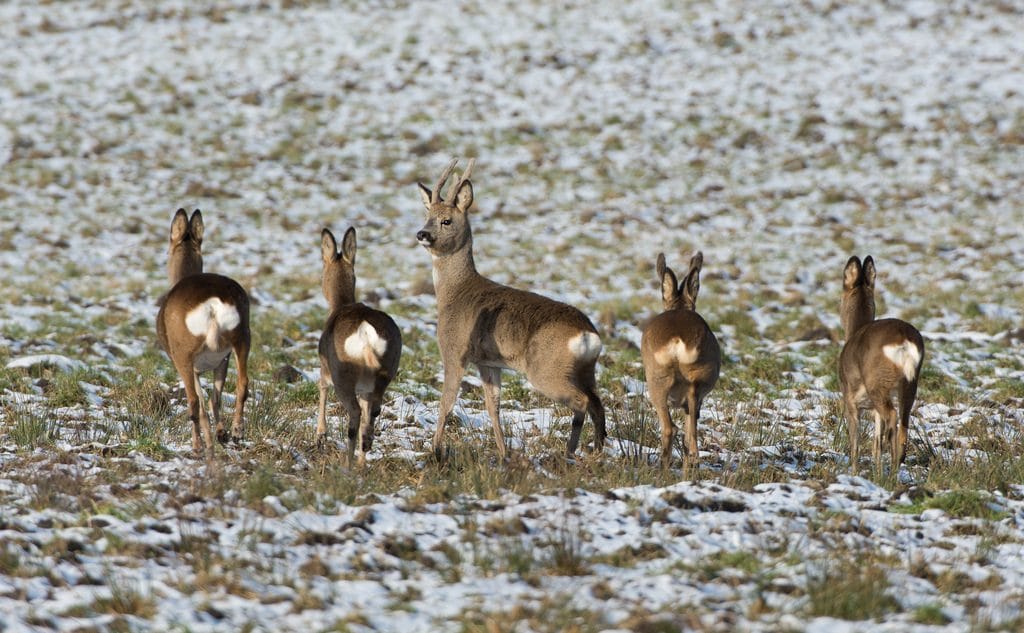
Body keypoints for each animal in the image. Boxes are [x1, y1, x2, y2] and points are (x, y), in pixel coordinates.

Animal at [156, 208, 250, 459]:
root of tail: (213, 304)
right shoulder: (221, 360)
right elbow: (214, 398)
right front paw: (220, 434)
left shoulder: (191, 365)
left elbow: (201, 400)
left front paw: (206, 442)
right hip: (241, 338)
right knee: (242, 383)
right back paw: (234, 432)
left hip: (183, 354)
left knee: (192, 401)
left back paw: (198, 446)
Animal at [317, 226, 402, 466]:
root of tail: (365, 334)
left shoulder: (325, 364)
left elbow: (321, 386)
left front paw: (320, 435)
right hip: (386, 371)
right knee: (371, 414)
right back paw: (362, 461)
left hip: (342, 373)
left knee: (355, 414)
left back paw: (346, 465)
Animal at [415, 158, 606, 461]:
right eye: (427, 215)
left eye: (446, 220)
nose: (422, 233)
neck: (453, 293)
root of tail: (588, 334)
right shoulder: (488, 363)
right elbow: (493, 407)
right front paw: (504, 454)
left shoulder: (453, 350)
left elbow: (446, 402)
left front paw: (435, 451)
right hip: (586, 370)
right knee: (598, 403)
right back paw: (591, 452)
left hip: (545, 371)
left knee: (582, 402)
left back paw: (575, 453)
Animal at [839, 255, 925, 470]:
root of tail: (904, 340)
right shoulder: (872, 408)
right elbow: (875, 445)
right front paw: (876, 471)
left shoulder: (849, 399)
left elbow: (855, 444)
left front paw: (854, 472)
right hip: (910, 383)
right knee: (903, 427)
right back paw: (894, 468)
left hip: (876, 382)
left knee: (893, 418)